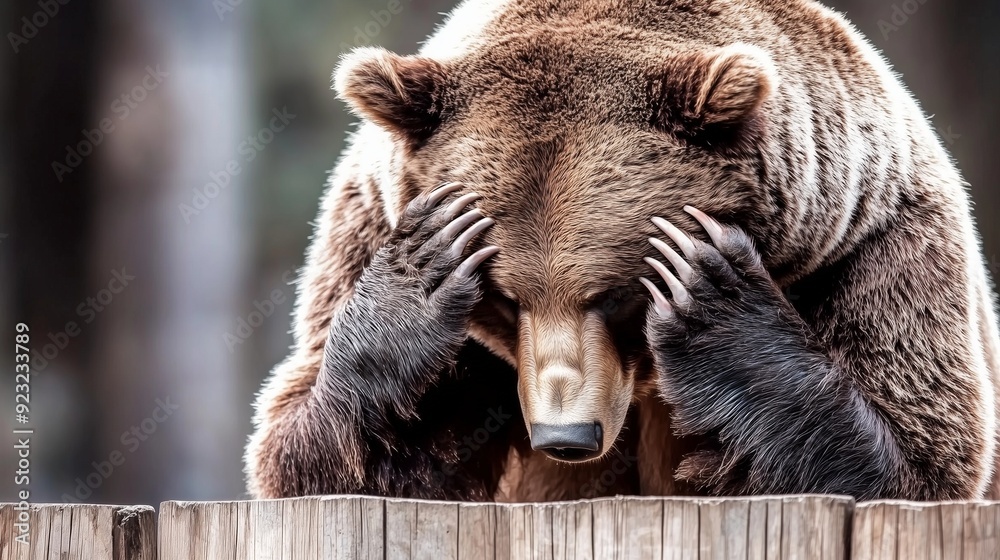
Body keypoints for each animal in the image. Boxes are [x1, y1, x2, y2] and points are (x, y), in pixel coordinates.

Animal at [245, 0, 1000, 502]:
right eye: (505, 299)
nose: (567, 436)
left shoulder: (868, 240)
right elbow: (316, 453)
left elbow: (914, 460)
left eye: (614, 296)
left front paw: (711, 292)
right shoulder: (364, 222)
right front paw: (421, 274)